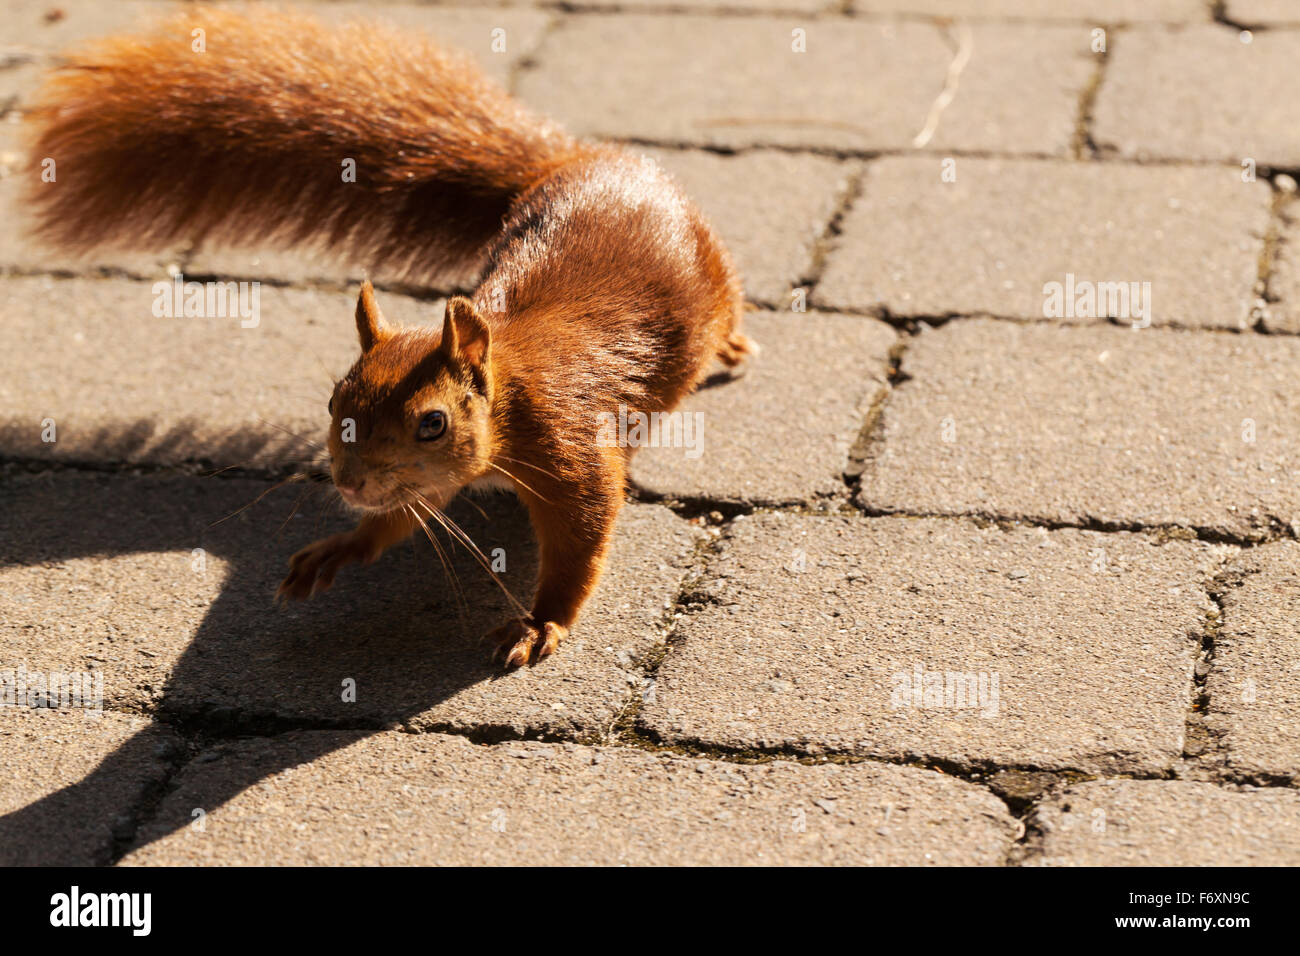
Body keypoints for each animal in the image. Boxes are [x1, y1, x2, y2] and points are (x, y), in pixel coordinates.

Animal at [23, 6, 754, 668]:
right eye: (331, 405)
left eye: (433, 422)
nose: (346, 483)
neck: (509, 394)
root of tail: (582, 157)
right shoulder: (420, 483)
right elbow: (408, 510)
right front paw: (344, 546)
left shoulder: (571, 449)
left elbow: (582, 537)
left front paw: (540, 622)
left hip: (714, 275)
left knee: (727, 310)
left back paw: (732, 346)